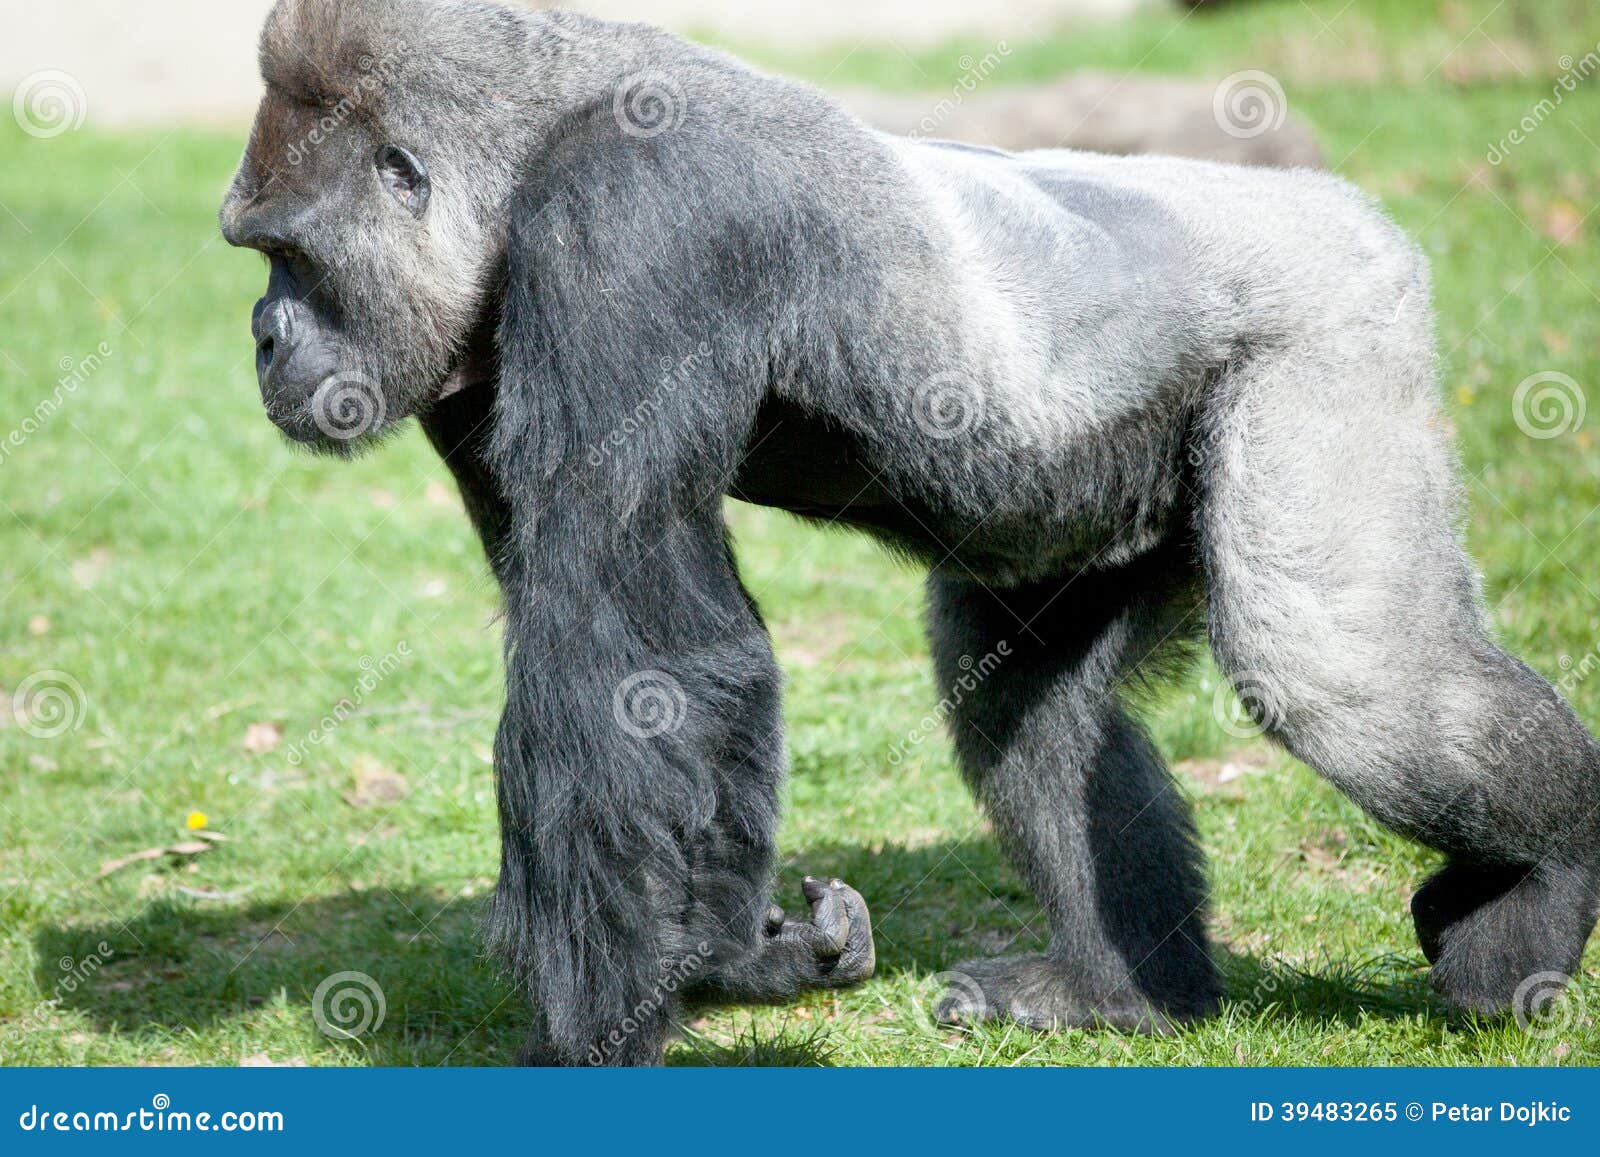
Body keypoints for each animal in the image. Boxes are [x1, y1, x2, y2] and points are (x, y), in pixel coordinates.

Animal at [220, 0, 1600, 1065]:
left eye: (286, 253)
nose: (261, 336)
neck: (536, 131)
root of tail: (1342, 201)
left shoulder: (631, 219)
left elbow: (631, 642)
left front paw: (682, 986)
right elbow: (607, 625)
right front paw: (714, 961)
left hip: (1340, 317)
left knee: (1336, 672)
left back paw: (1548, 873)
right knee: (1028, 703)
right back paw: (1119, 992)